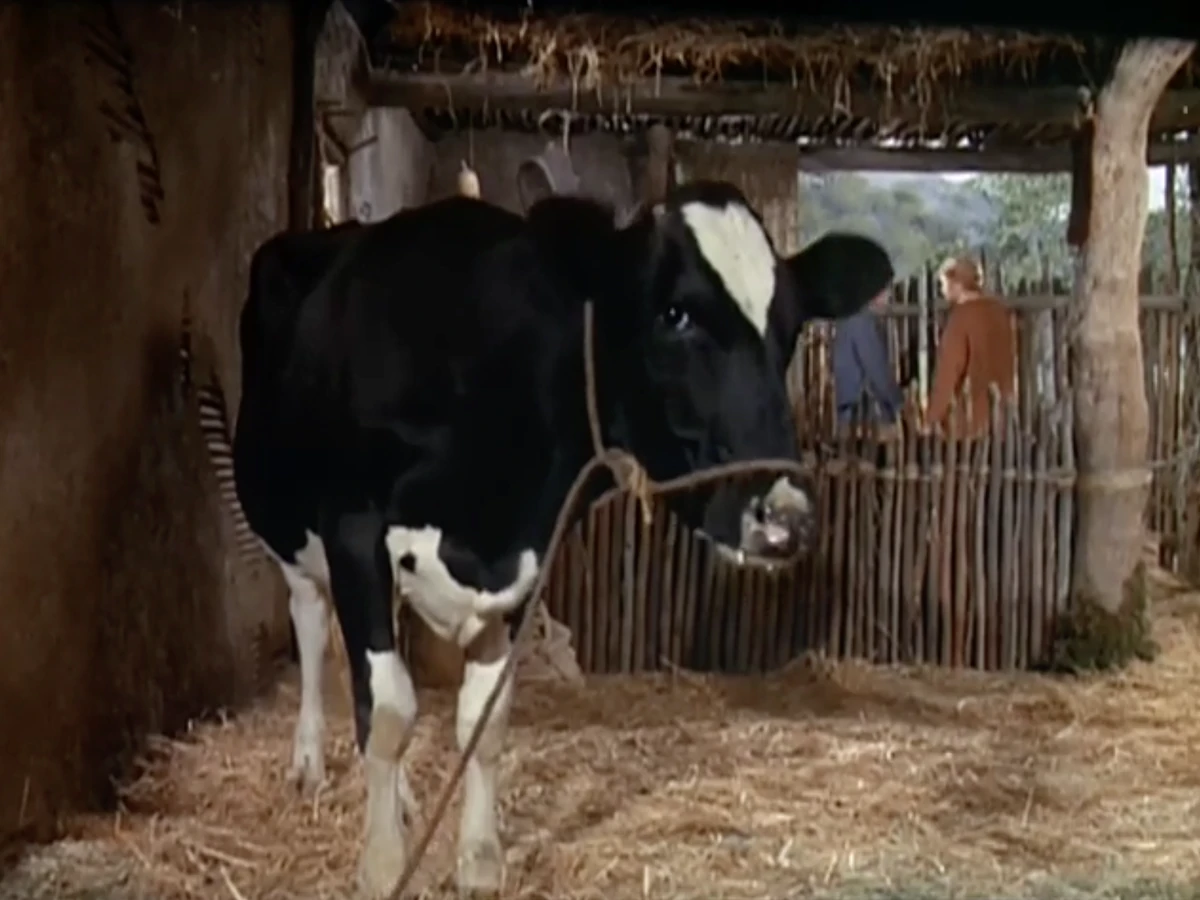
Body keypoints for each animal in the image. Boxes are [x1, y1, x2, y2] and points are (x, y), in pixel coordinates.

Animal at [229, 177, 894, 898]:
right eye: (675, 315)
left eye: (791, 327)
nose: (787, 517)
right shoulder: (354, 528)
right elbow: (389, 712)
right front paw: (383, 866)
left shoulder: (527, 553)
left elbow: (481, 717)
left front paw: (479, 860)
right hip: (291, 533)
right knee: (312, 627)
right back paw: (310, 762)